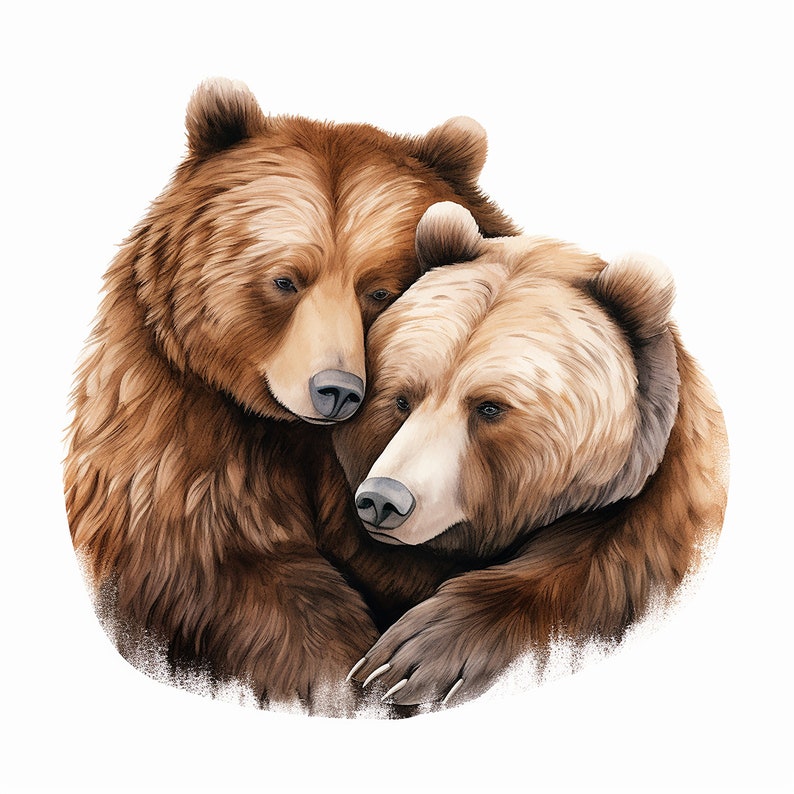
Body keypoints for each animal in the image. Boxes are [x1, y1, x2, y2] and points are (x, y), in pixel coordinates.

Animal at [64, 81, 516, 711]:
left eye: (379, 290)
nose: (337, 391)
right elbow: (227, 570)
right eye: (285, 280)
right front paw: (340, 679)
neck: (299, 438)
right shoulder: (183, 436)